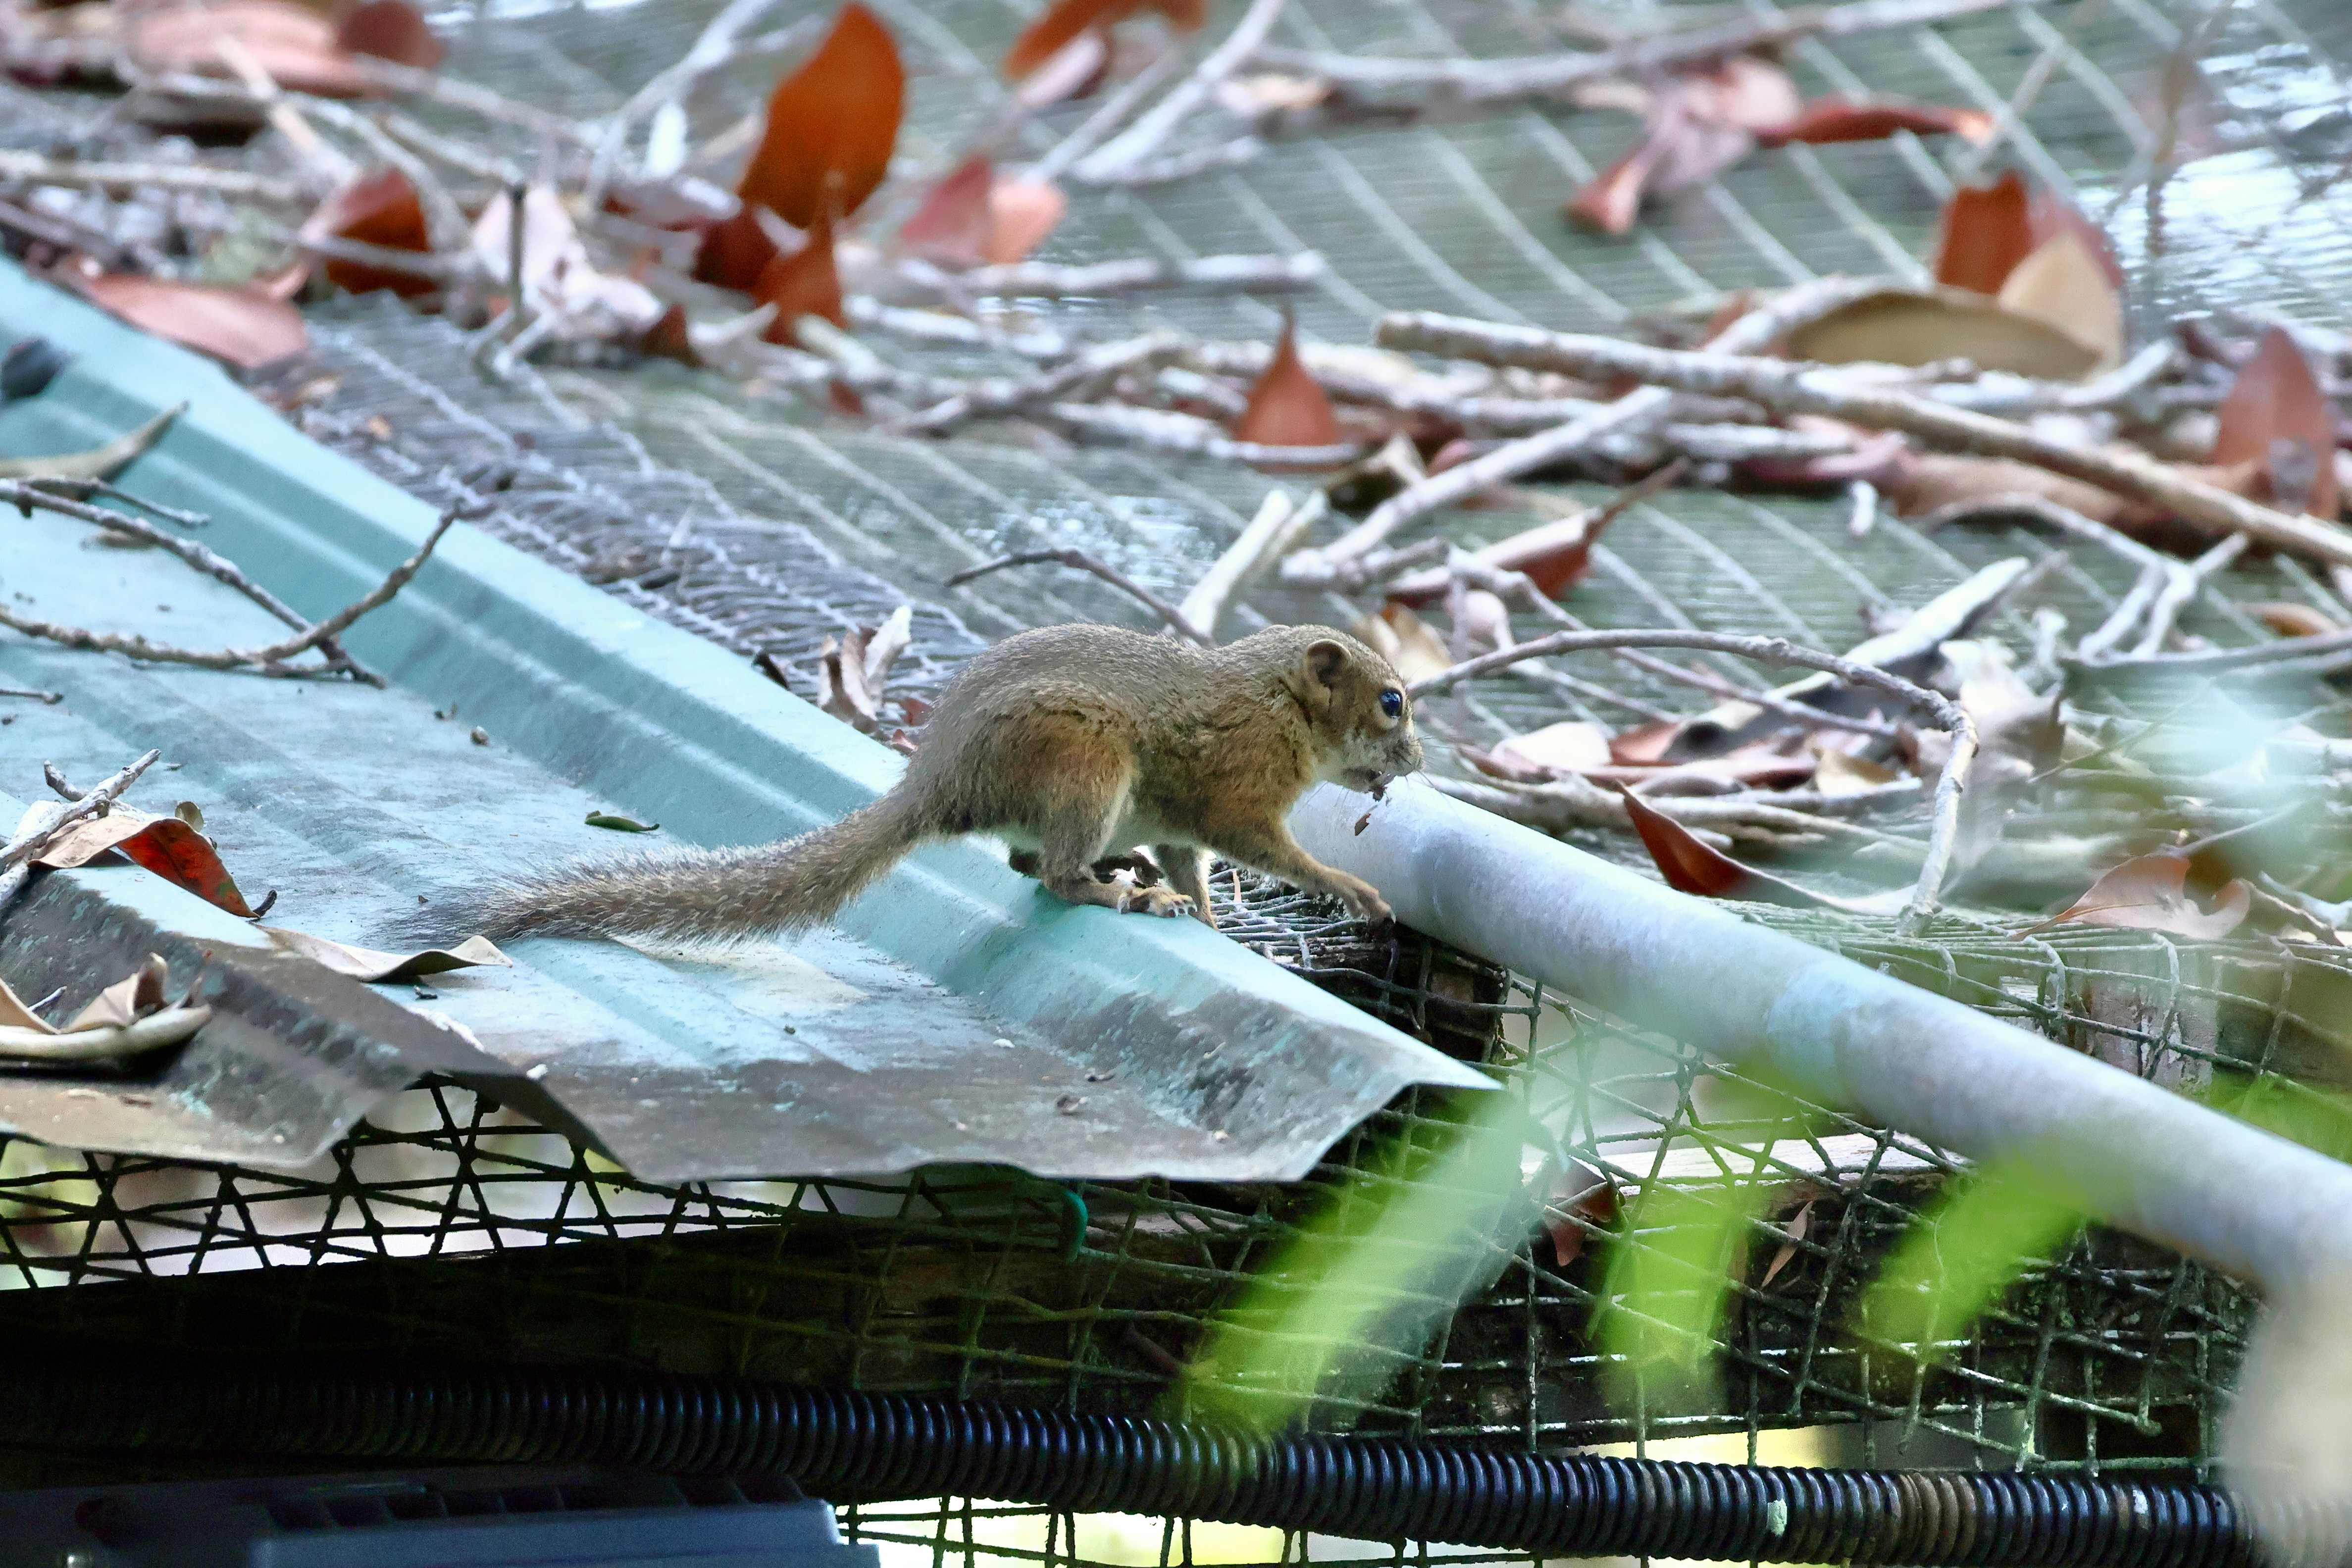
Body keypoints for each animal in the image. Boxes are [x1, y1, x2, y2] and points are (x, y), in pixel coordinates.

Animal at [418, 622, 1422, 946]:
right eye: (1393, 702)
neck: (1274, 699)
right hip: (1087, 761)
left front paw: (1211, 916)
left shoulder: (1186, 818)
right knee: (1050, 875)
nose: (1417, 765)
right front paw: (1353, 889)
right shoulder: (1237, 797)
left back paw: (1130, 875)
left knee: (1025, 862)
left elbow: (1190, 861)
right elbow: (1265, 852)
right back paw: (1115, 891)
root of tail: (937, 780)